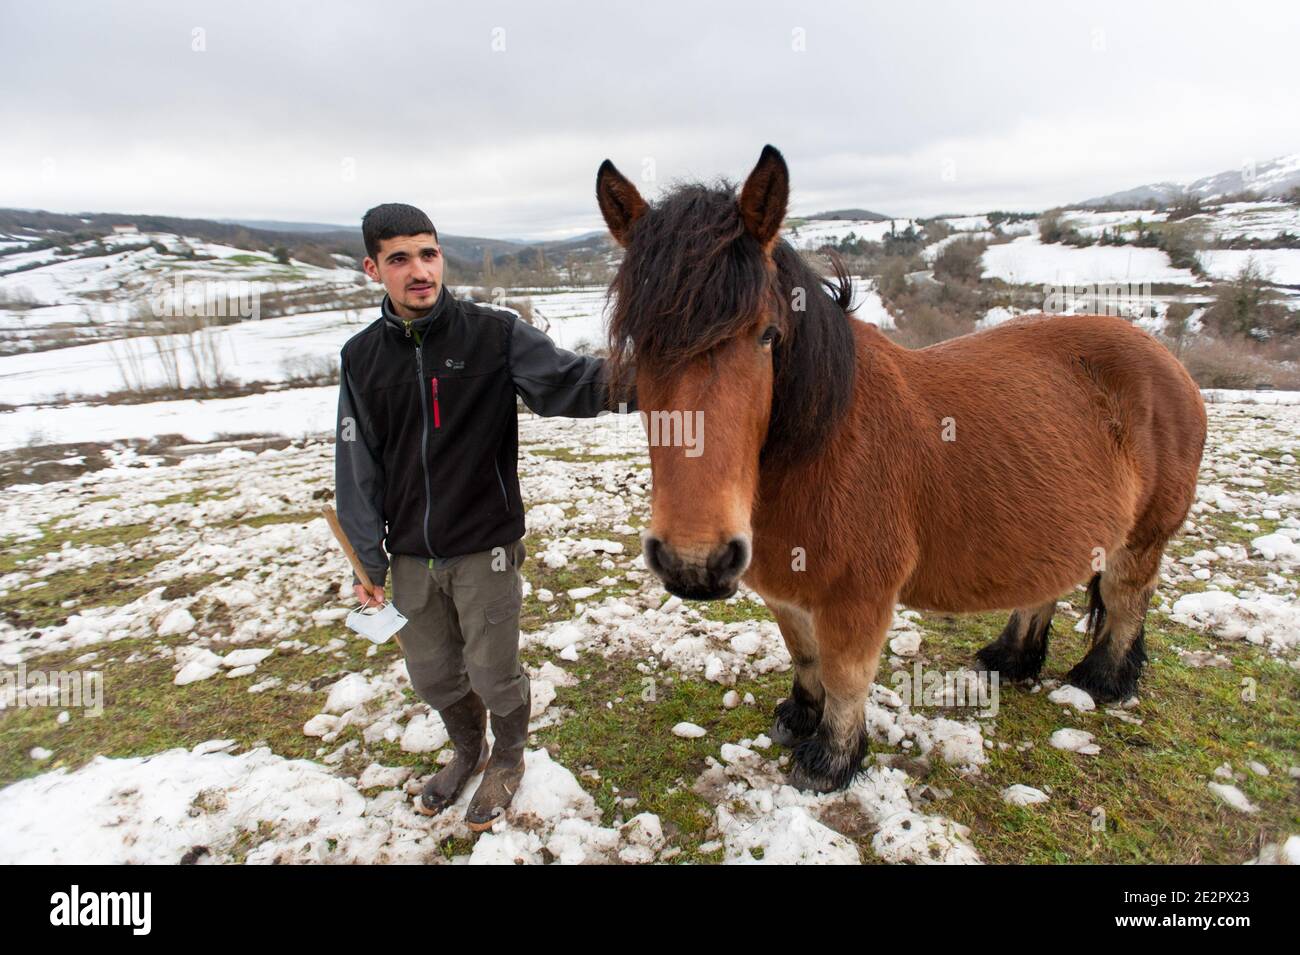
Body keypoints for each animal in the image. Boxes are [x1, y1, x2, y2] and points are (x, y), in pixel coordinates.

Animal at [594, 145, 1208, 793]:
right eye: (635, 339)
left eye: (767, 335)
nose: (694, 562)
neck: (820, 446)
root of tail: (1166, 361)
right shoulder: (786, 589)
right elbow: (804, 655)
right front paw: (800, 716)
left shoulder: (858, 595)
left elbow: (845, 674)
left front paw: (830, 761)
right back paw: (1010, 660)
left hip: (1143, 539)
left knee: (1125, 600)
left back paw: (1101, 682)